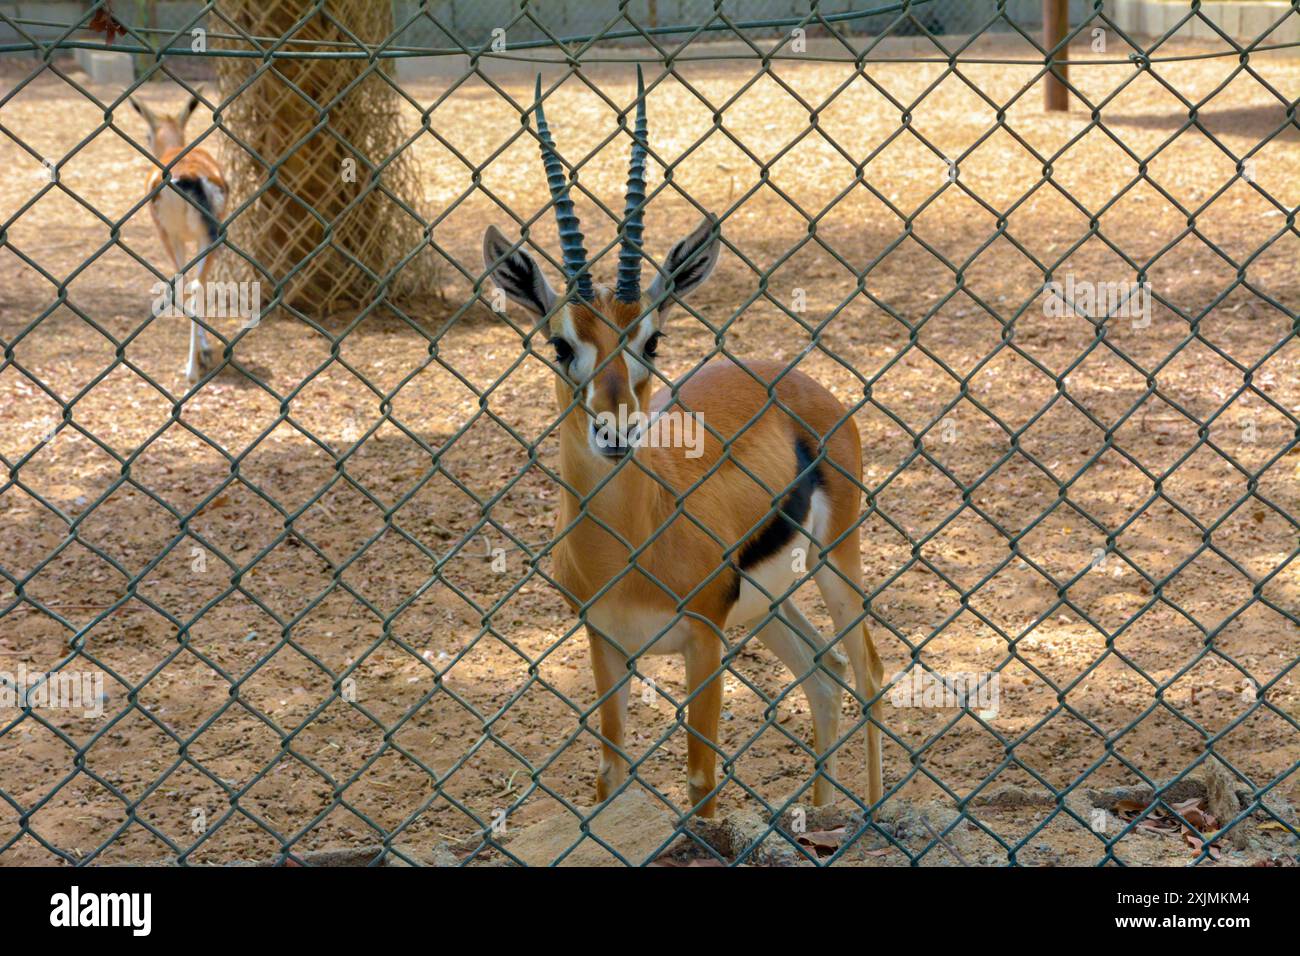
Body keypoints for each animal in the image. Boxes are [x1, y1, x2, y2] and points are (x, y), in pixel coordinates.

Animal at [129, 90, 227, 384]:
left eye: (147, 134)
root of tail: (185, 176)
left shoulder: (175, 236)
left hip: (175, 236)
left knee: (187, 284)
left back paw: (192, 369)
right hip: (209, 236)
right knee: (195, 285)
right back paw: (197, 363)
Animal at [481, 72, 885, 819]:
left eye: (653, 340)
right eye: (560, 345)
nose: (614, 430)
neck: (629, 544)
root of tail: (797, 380)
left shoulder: (703, 638)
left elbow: (701, 780)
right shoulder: (606, 643)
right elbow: (610, 773)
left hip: (833, 562)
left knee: (867, 670)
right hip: (771, 606)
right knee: (825, 671)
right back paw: (820, 815)